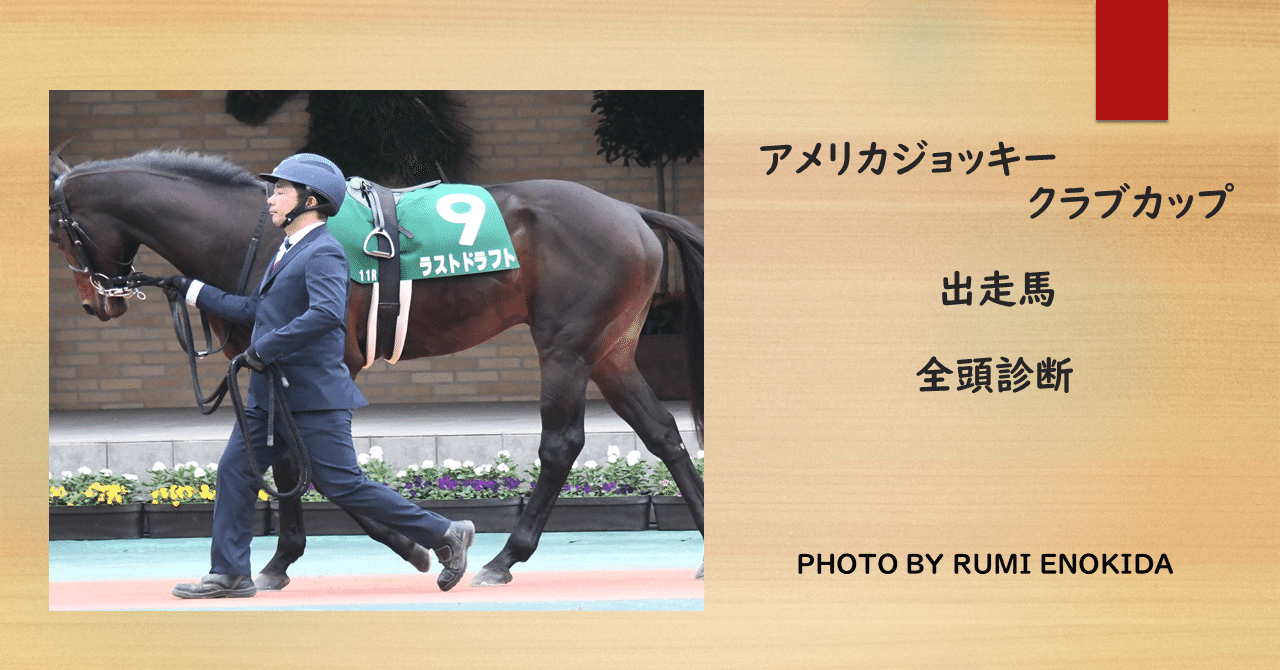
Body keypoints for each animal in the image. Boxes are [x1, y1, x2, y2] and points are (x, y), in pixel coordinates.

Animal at [49, 149, 704, 588]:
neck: (259, 234)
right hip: (610, 349)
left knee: (562, 443)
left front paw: (309, 557)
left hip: (567, 348)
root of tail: (630, 212)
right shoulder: (263, 361)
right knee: (663, 434)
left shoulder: (316, 359)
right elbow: (281, 457)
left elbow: (309, 465)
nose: (96, 302)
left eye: (59, 232)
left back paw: (502, 559)